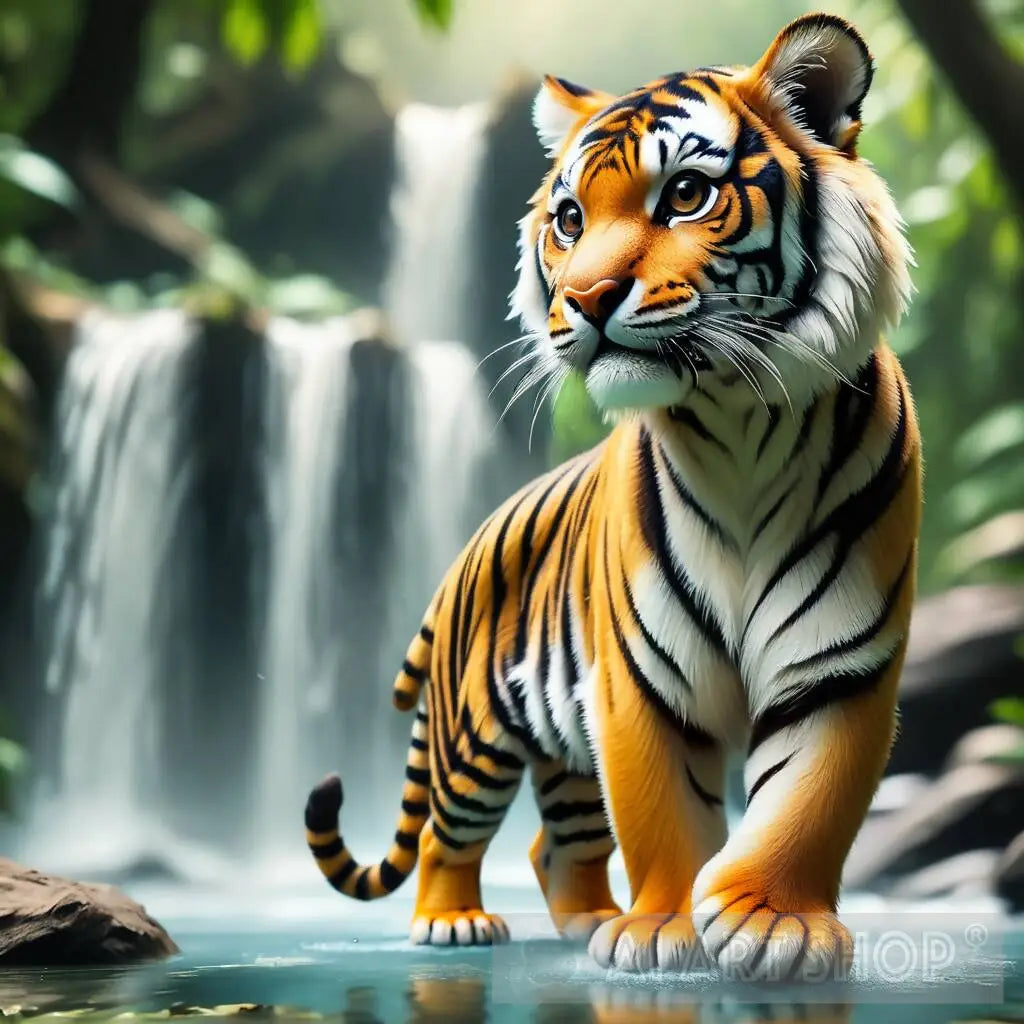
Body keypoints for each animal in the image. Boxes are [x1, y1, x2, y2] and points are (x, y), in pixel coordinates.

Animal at [304, 13, 920, 980]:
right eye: (569, 219)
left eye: (688, 195)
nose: (587, 297)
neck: (741, 423)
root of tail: (463, 553)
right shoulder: (637, 677)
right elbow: (663, 812)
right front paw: (664, 931)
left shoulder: (838, 664)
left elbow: (808, 802)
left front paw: (776, 927)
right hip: (476, 734)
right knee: (448, 832)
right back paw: (454, 922)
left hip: (565, 752)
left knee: (553, 841)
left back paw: (588, 920)